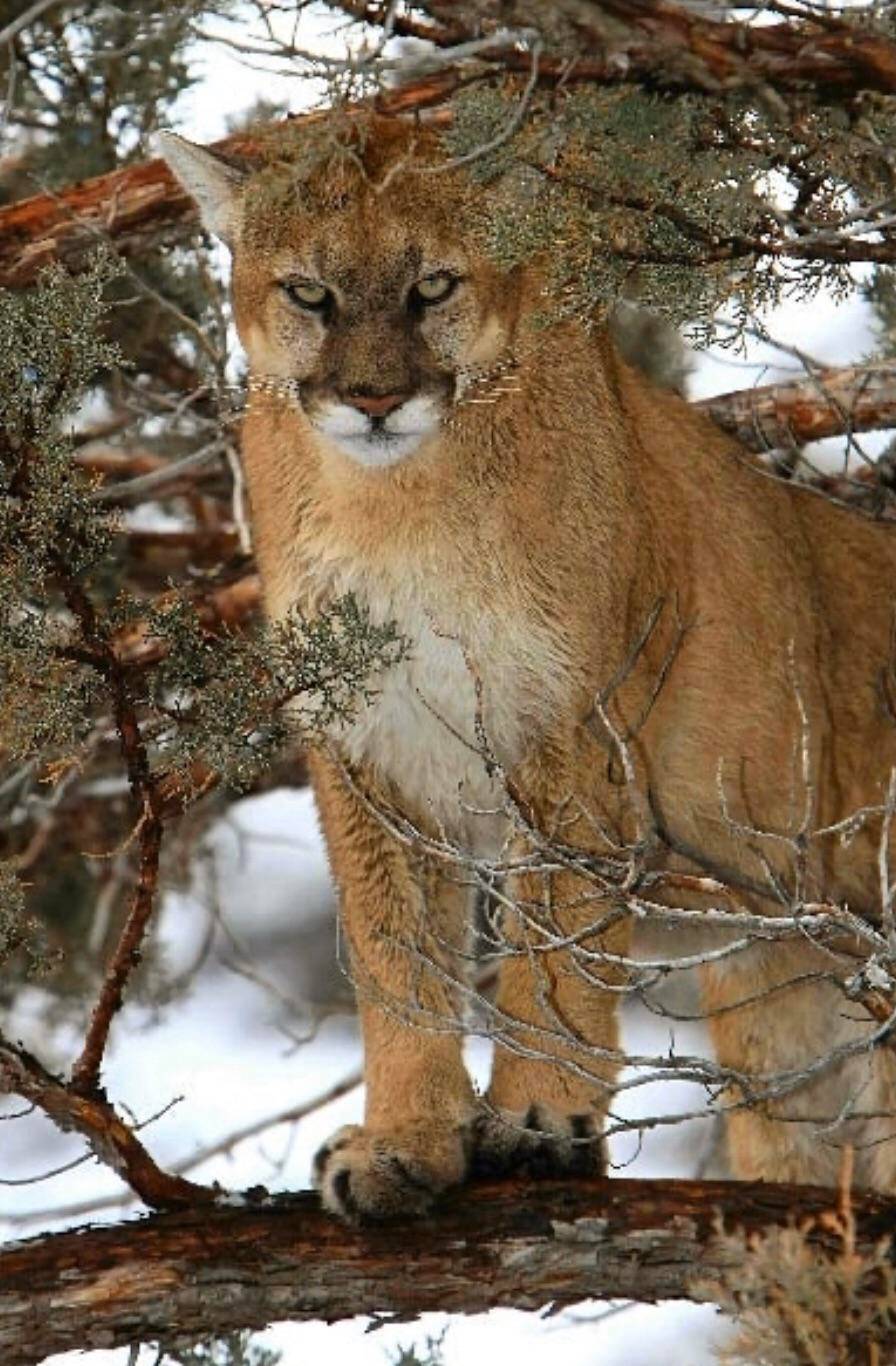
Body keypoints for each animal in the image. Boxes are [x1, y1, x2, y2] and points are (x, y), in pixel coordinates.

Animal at [158, 116, 896, 1222]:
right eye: (308, 292)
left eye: (432, 284)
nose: (374, 398)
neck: (397, 511)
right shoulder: (370, 742)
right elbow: (393, 948)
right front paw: (404, 1140)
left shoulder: (569, 729)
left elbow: (556, 943)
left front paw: (540, 1120)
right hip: (785, 1004)